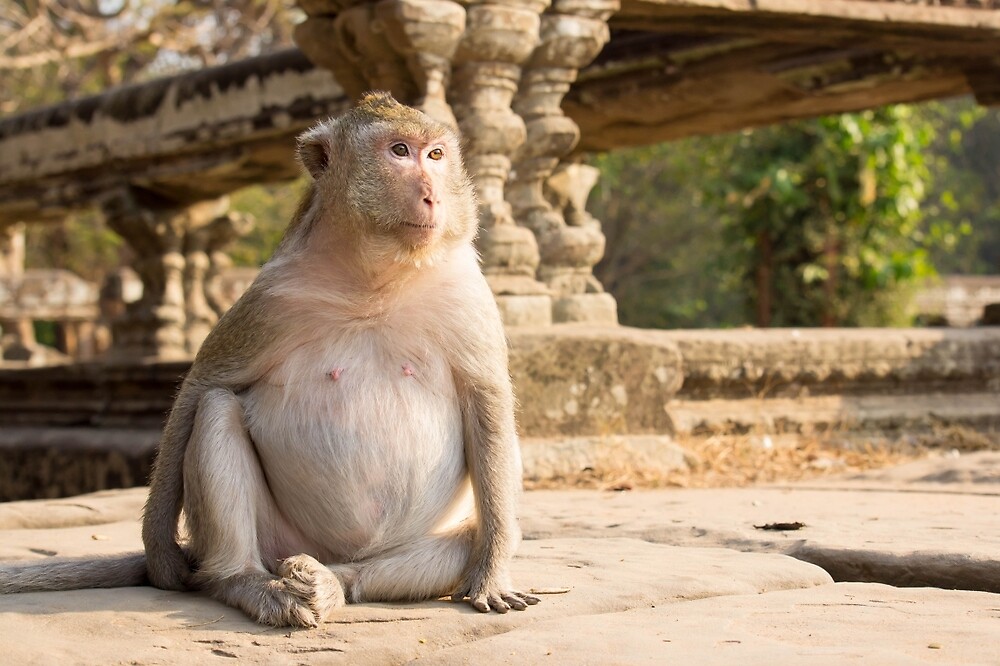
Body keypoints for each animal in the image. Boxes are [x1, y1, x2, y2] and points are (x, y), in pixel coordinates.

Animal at [0, 92, 539, 627]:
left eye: (437, 155)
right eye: (400, 151)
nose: (433, 196)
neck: (376, 278)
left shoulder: (466, 294)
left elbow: (486, 401)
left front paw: (492, 576)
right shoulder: (273, 294)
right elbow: (202, 384)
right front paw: (159, 551)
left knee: (464, 538)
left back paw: (330, 583)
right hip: (270, 537)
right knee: (216, 410)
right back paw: (243, 581)